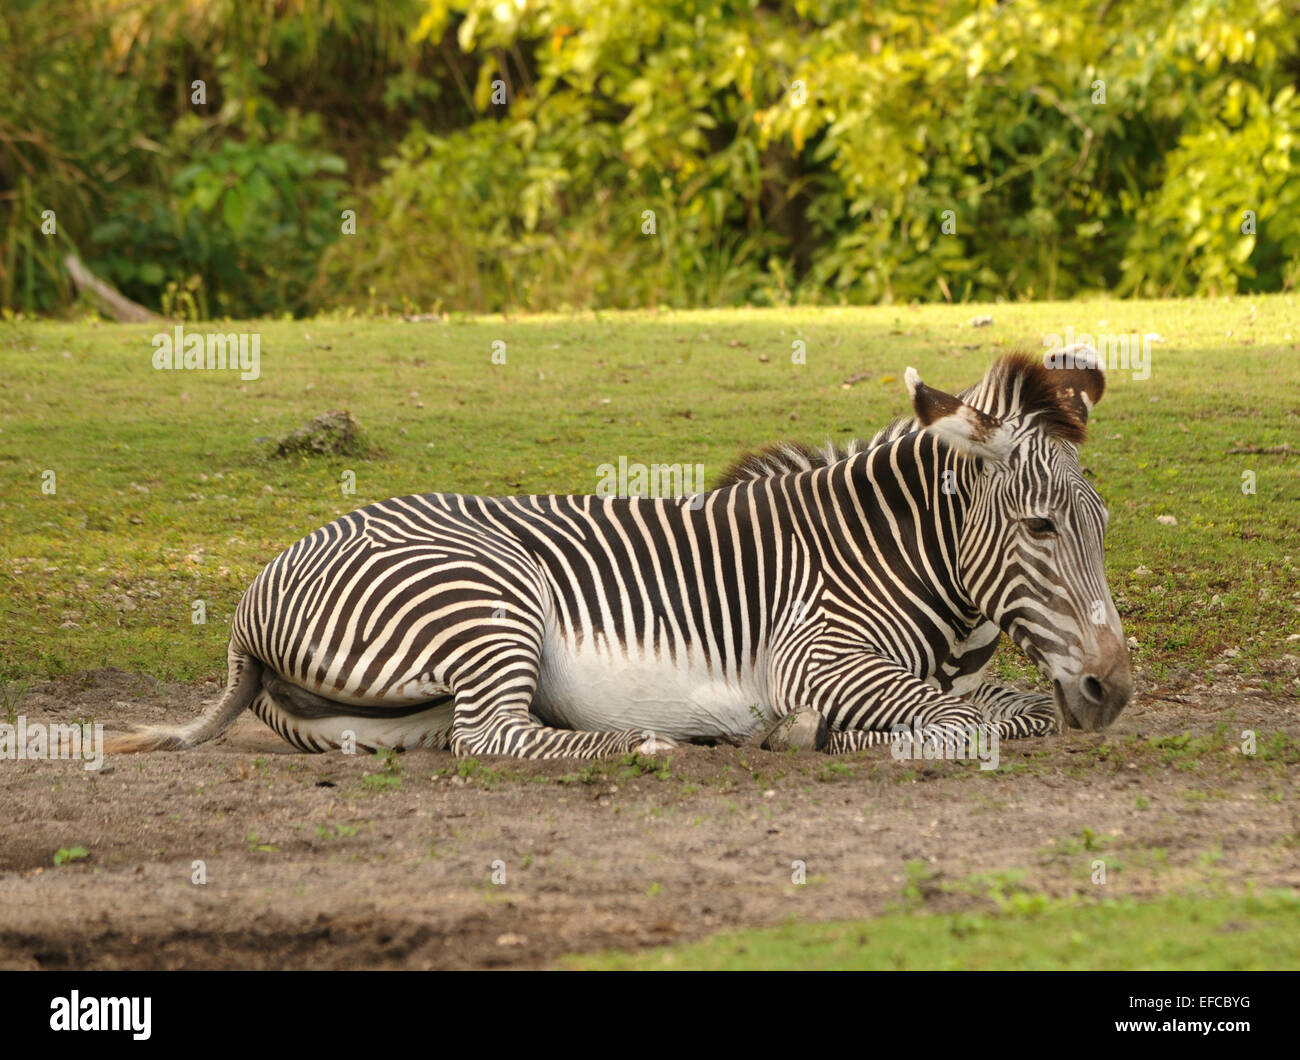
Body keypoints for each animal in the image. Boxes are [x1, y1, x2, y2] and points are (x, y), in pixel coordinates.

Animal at [106, 350, 1132, 760]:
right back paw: (651, 743)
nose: (1114, 692)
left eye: (1102, 524)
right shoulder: (814, 658)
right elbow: (972, 719)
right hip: (490, 595)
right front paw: (819, 733)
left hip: (385, 714)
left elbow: (1012, 708)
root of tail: (252, 598)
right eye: (1041, 529)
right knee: (497, 738)